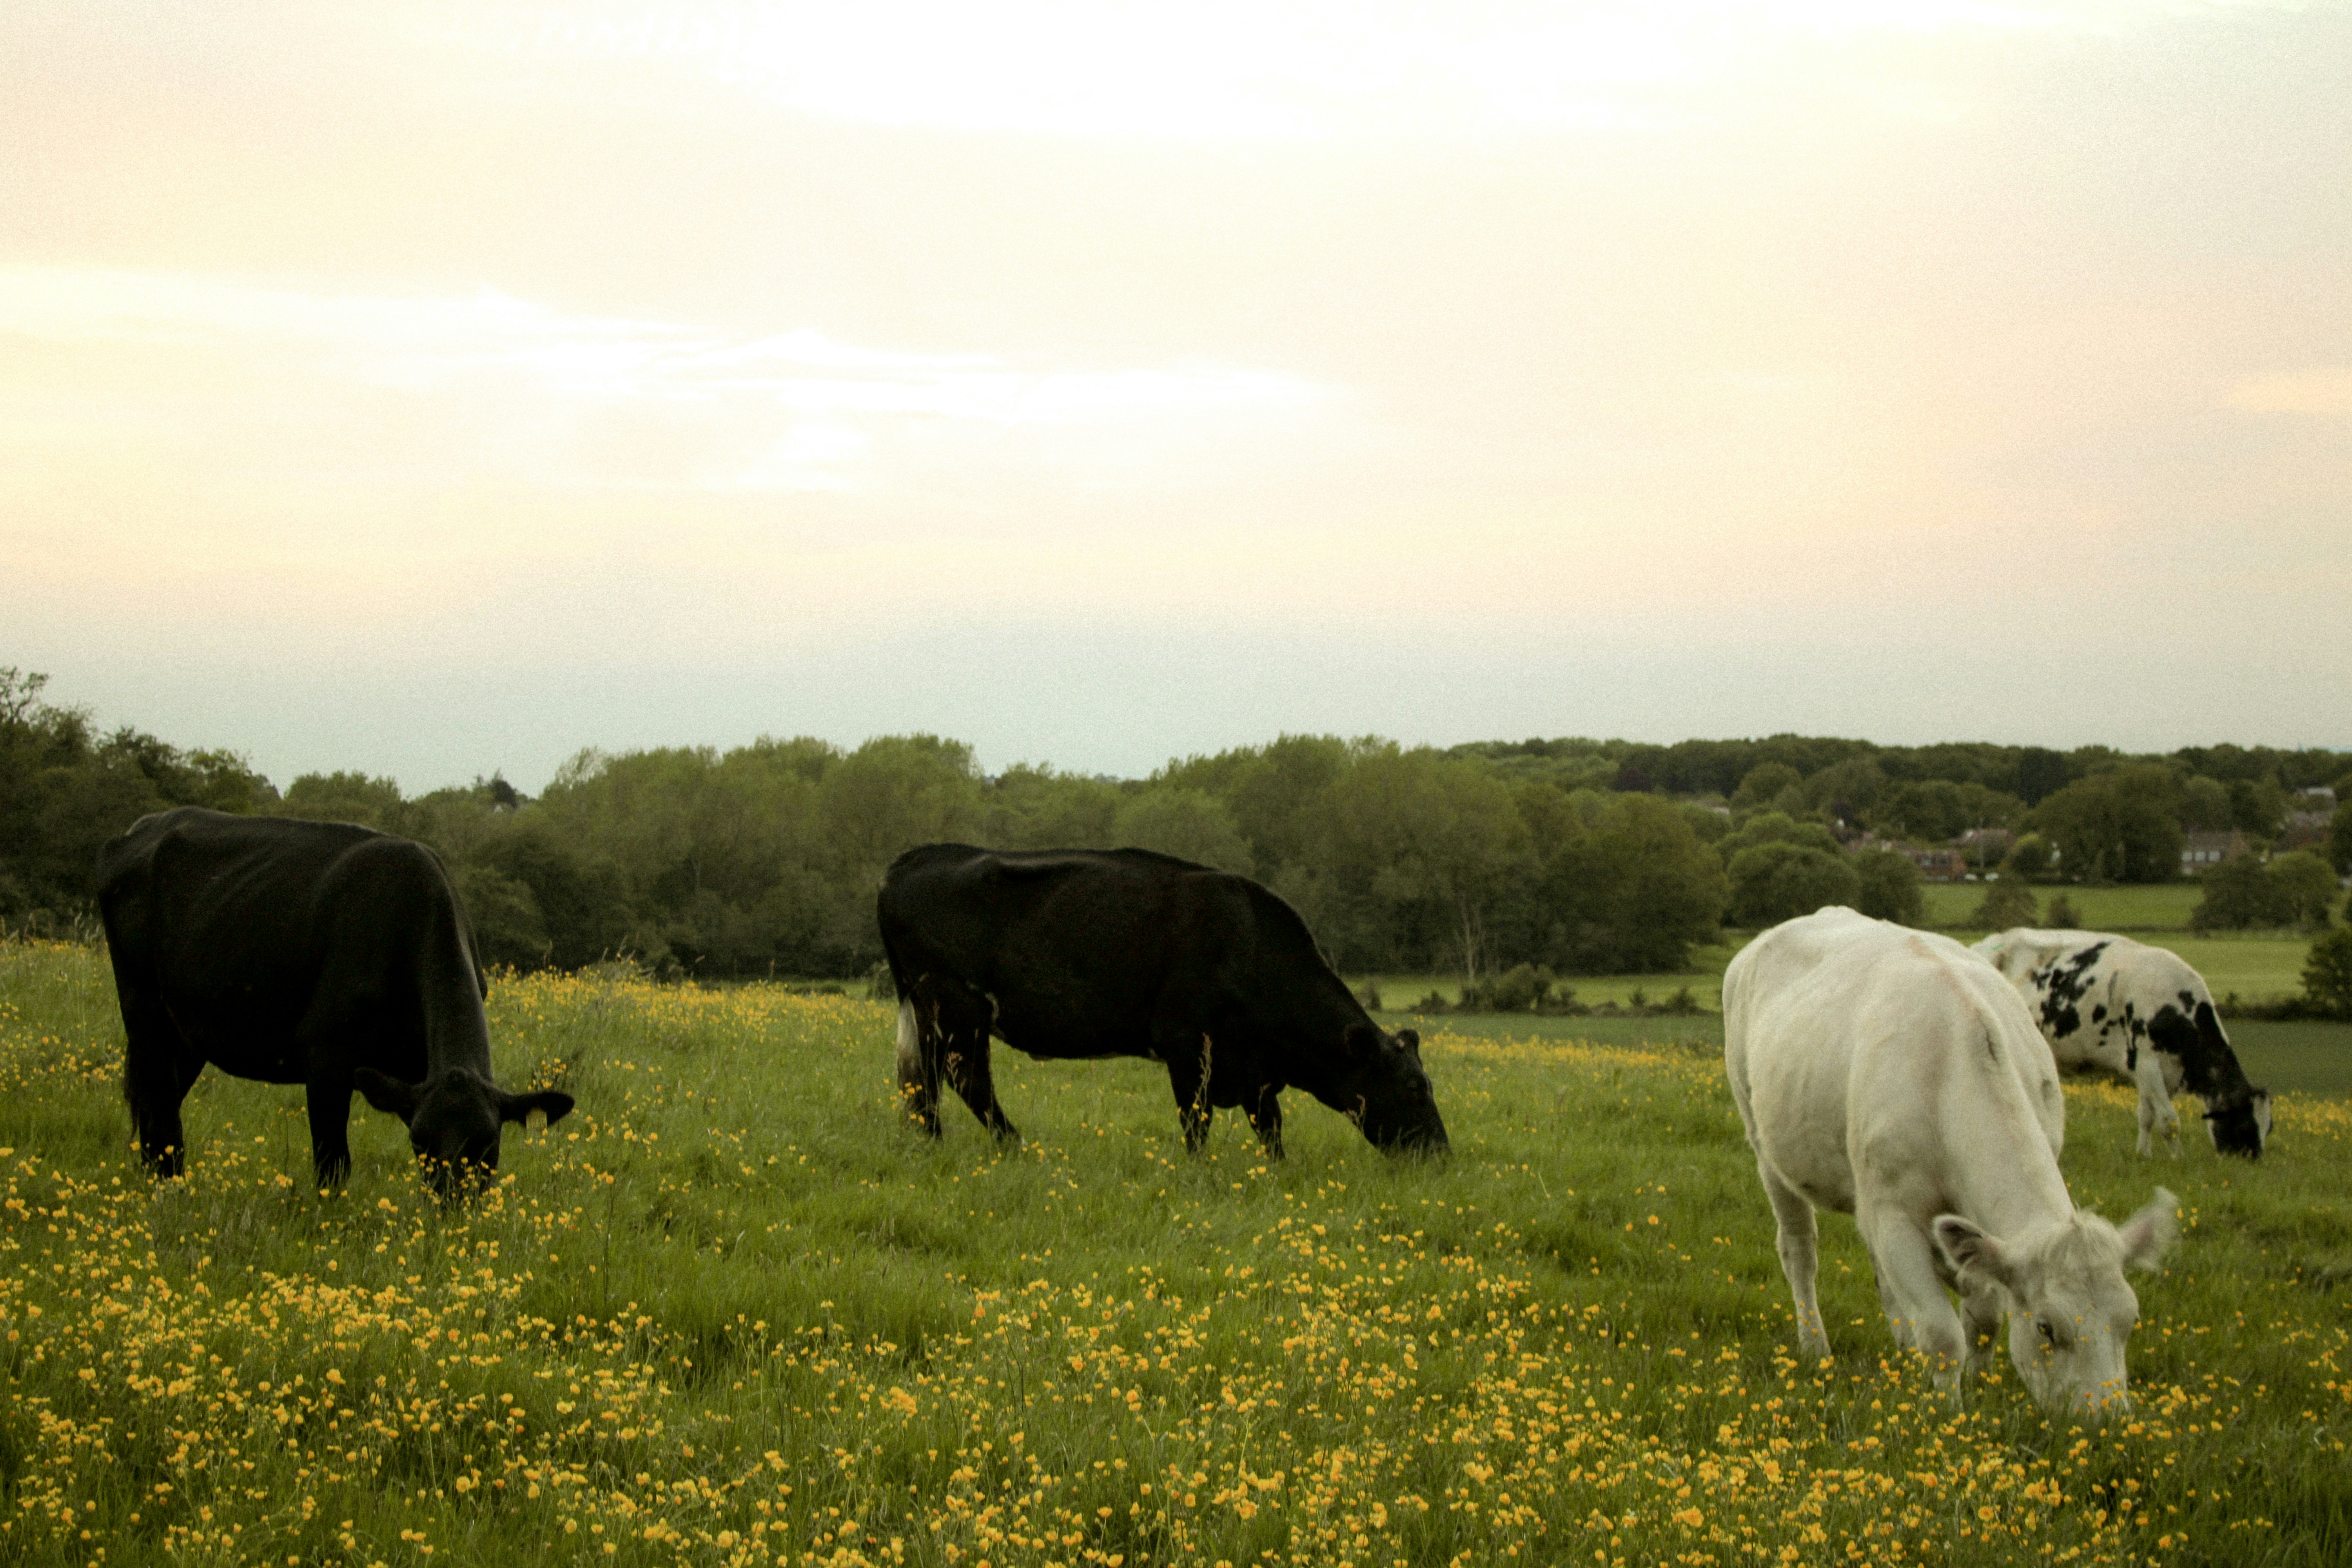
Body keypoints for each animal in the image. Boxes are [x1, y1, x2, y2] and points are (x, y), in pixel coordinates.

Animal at [96, 807, 575, 1198]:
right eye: (421, 1143)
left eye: (488, 1144)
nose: (452, 1204)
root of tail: (142, 828)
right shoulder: (326, 1055)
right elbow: (333, 1164)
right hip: (143, 1009)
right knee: (161, 1112)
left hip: (188, 1029)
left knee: (159, 1106)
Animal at [876, 843, 1448, 1159]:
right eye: (1415, 1087)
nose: (1441, 1155)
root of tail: (912, 860)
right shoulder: (1187, 1043)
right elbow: (1197, 1120)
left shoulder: (1255, 1069)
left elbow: (1270, 1126)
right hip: (957, 1006)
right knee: (965, 1079)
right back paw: (1013, 1146)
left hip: (934, 1011)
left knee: (926, 1079)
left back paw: (936, 1141)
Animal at [1725, 907, 2176, 1416]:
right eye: (2046, 1327)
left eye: (2131, 1320)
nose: (2106, 1420)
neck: (1951, 1076)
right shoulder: (1896, 1215)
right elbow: (1943, 1334)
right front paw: (1948, 1413)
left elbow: (1983, 1318)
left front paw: (1979, 1384)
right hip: (1766, 1145)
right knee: (1800, 1251)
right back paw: (1815, 1345)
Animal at [1972, 928, 2271, 1159]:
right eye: (2245, 1125)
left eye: (2269, 1128)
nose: (2253, 1160)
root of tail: (1983, 945)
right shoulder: (2149, 1062)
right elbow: (2169, 1121)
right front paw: (2179, 1159)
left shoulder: (2151, 1071)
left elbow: (2147, 1116)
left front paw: (2144, 1155)